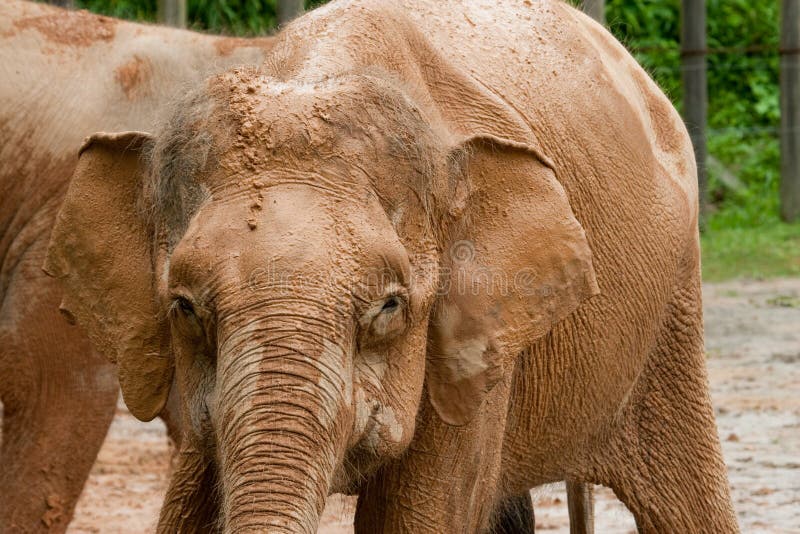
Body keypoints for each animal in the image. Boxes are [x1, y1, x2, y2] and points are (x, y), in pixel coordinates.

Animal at [44, 0, 738, 532]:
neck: (315, 76)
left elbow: (414, 517)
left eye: (390, 307)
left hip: (672, 307)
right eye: (184, 308)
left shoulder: (473, 335)